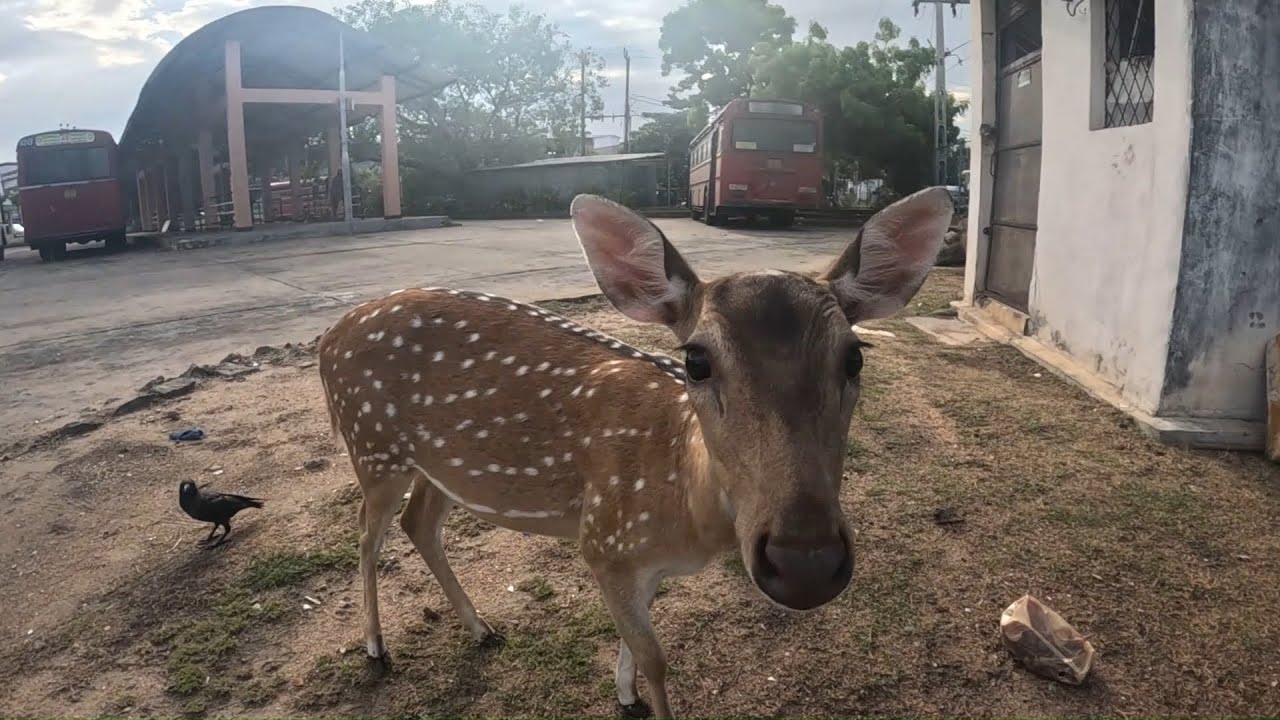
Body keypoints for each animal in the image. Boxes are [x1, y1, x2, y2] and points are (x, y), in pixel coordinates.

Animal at [316, 186, 953, 718]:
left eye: (855, 356)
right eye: (696, 358)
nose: (806, 563)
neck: (685, 516)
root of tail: (328, 338)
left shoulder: (635, 562)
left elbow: (636, 647)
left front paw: (624, 695)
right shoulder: (603, 541)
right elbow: (656, 660)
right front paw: (639, 698)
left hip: (437, 464)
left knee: (418, 523)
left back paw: (481, 628)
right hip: (371, 444)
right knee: (367, 534)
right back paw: (376, 648)